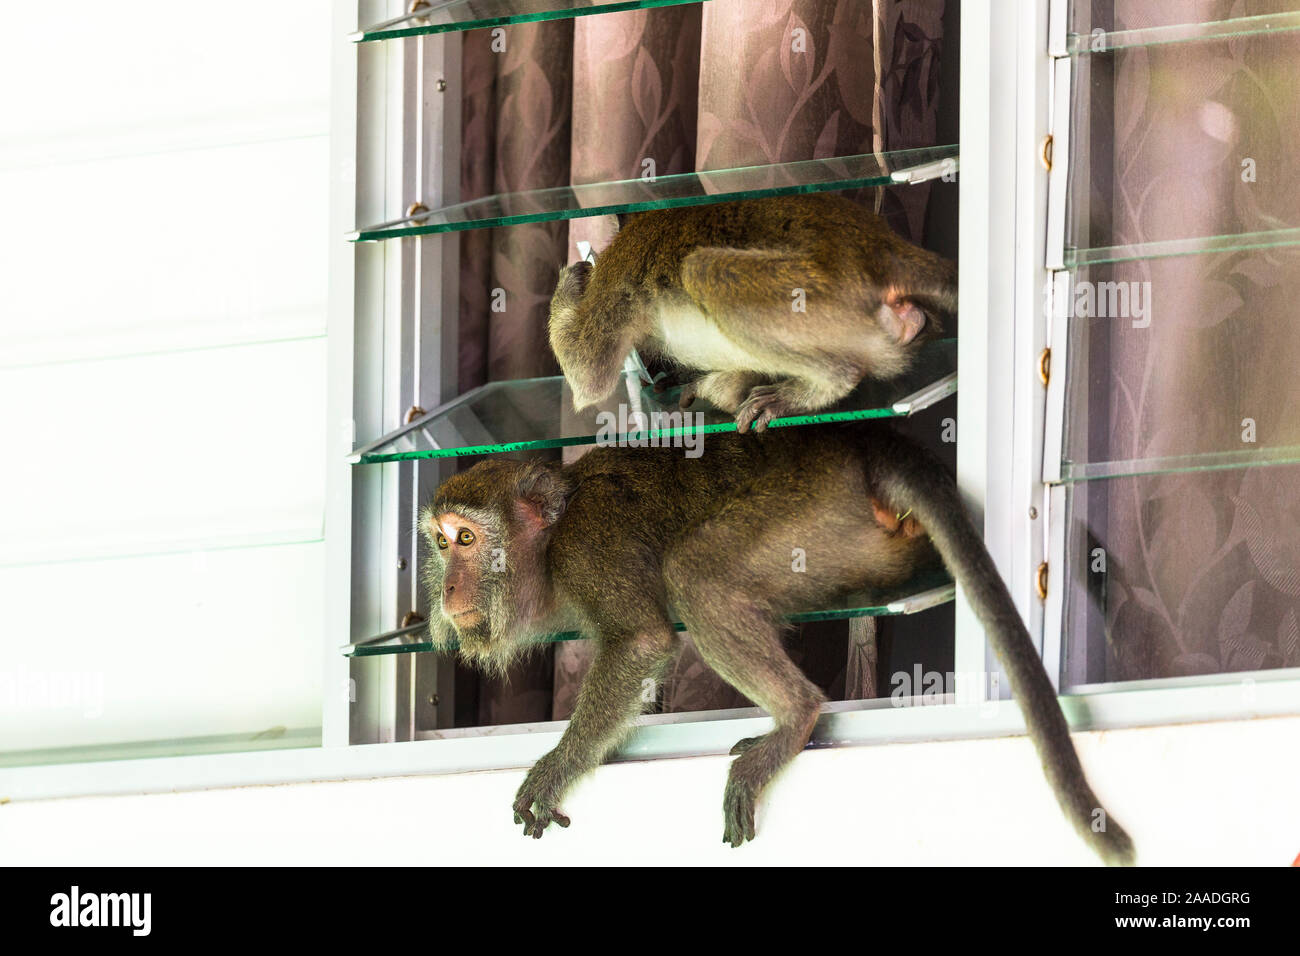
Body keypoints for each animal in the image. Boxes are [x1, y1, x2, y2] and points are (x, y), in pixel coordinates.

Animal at [420, 422, 1136, 865]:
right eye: (440, 543)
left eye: (468, 539)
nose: (449, 587)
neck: (551, 538)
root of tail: (861, 441)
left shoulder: (588, 549)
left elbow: (641, 638)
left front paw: (559, 764)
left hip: (805, 516)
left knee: (697, 577)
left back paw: (796, 715)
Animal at [547, 193, 957, 433]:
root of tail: (882, 249)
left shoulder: (618, 271)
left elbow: (589, 375)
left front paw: (570, 280)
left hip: (815, 285)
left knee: (703, 270)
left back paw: (823, 384)